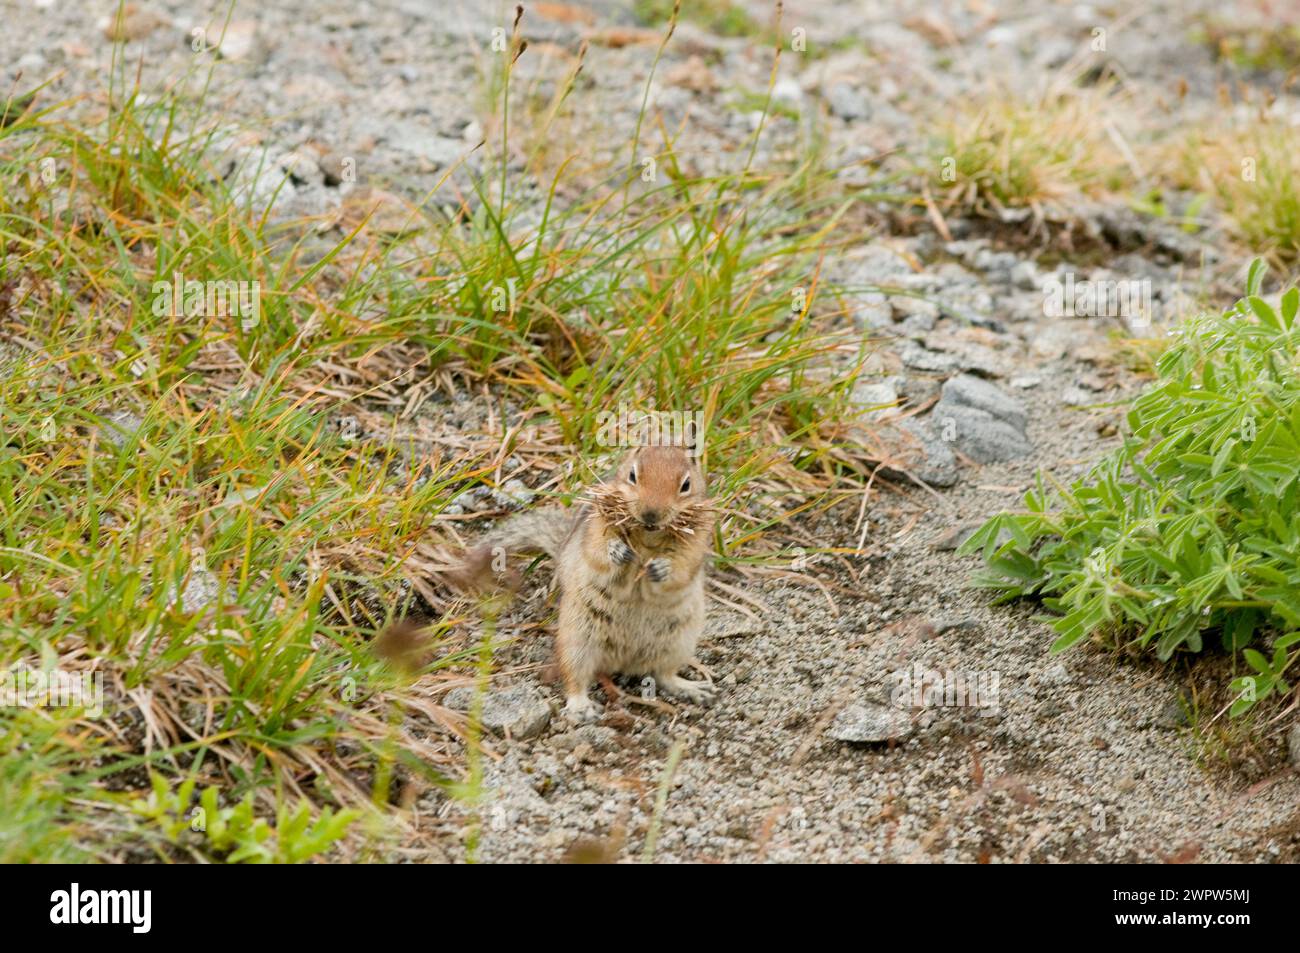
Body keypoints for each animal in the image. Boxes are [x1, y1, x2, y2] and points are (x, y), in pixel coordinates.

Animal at [450, 444, 717, 721]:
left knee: (664, 675)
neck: (648, 535)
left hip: (679, 643)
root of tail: (624, 662)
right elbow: (597, 550)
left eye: (685, 484)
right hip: (577, 640)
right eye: (633, 475)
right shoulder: (596, 526)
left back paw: (694, 689)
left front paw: (661, 567)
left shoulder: (698, 541)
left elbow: (683, 566)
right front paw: (617, 551)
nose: (650, 514)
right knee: (574, 679)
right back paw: (581, 707)